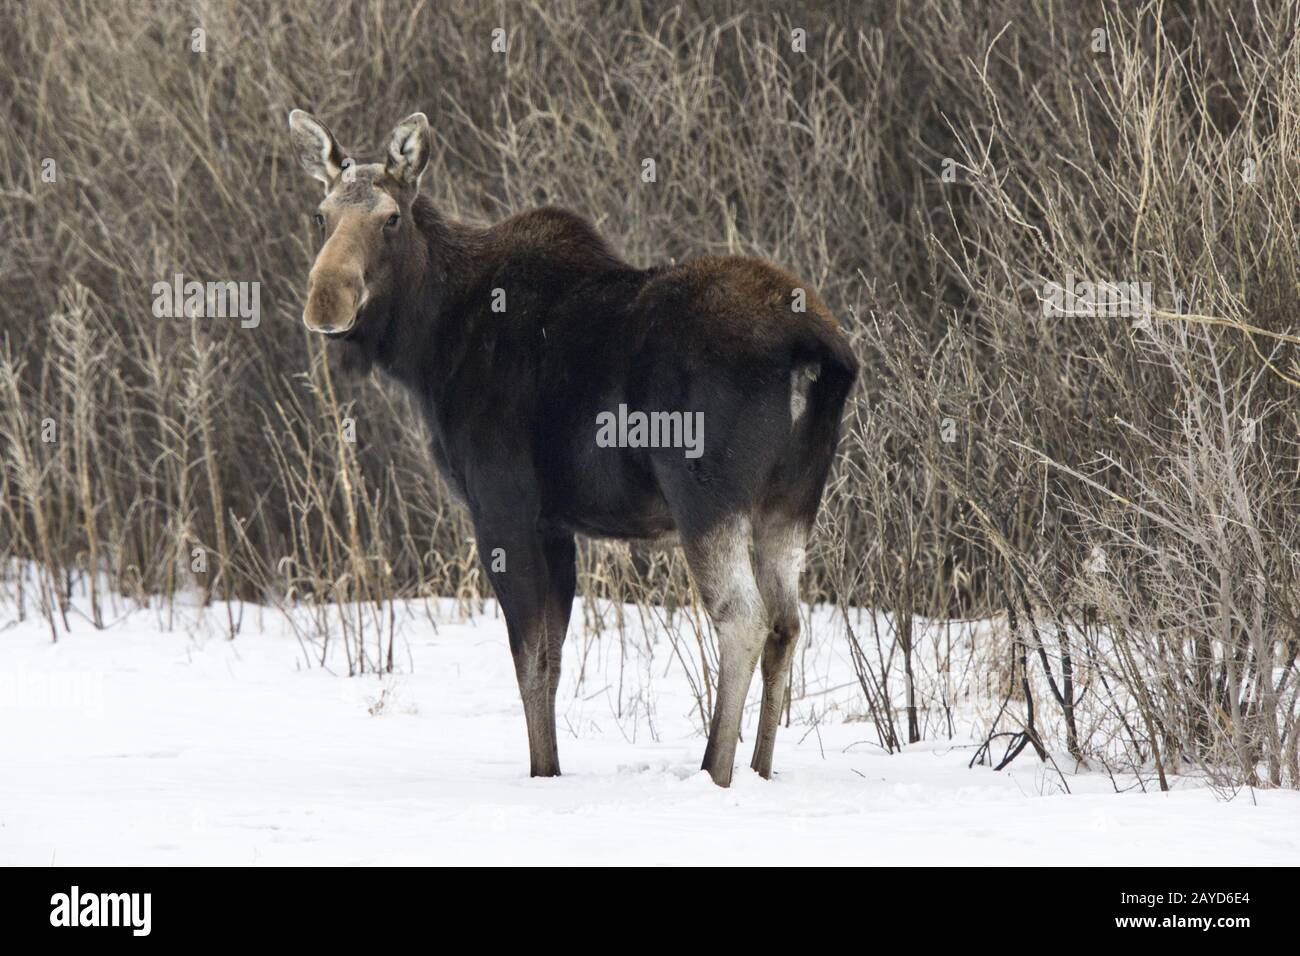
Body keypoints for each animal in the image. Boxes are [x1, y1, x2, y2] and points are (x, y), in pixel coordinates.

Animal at [287, 109, 857, 787]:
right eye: (320, 214)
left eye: (391, 217)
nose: (327, 299)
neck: (427, 347)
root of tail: (819, 351)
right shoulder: (557, 523)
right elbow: (554, 658)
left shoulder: (503, 506)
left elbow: (529, 657)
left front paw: (542, 773)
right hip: (791, 502)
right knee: (788, 623)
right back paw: (761, 769)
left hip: (705, 494)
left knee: (742, 617)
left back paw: (714, 771)